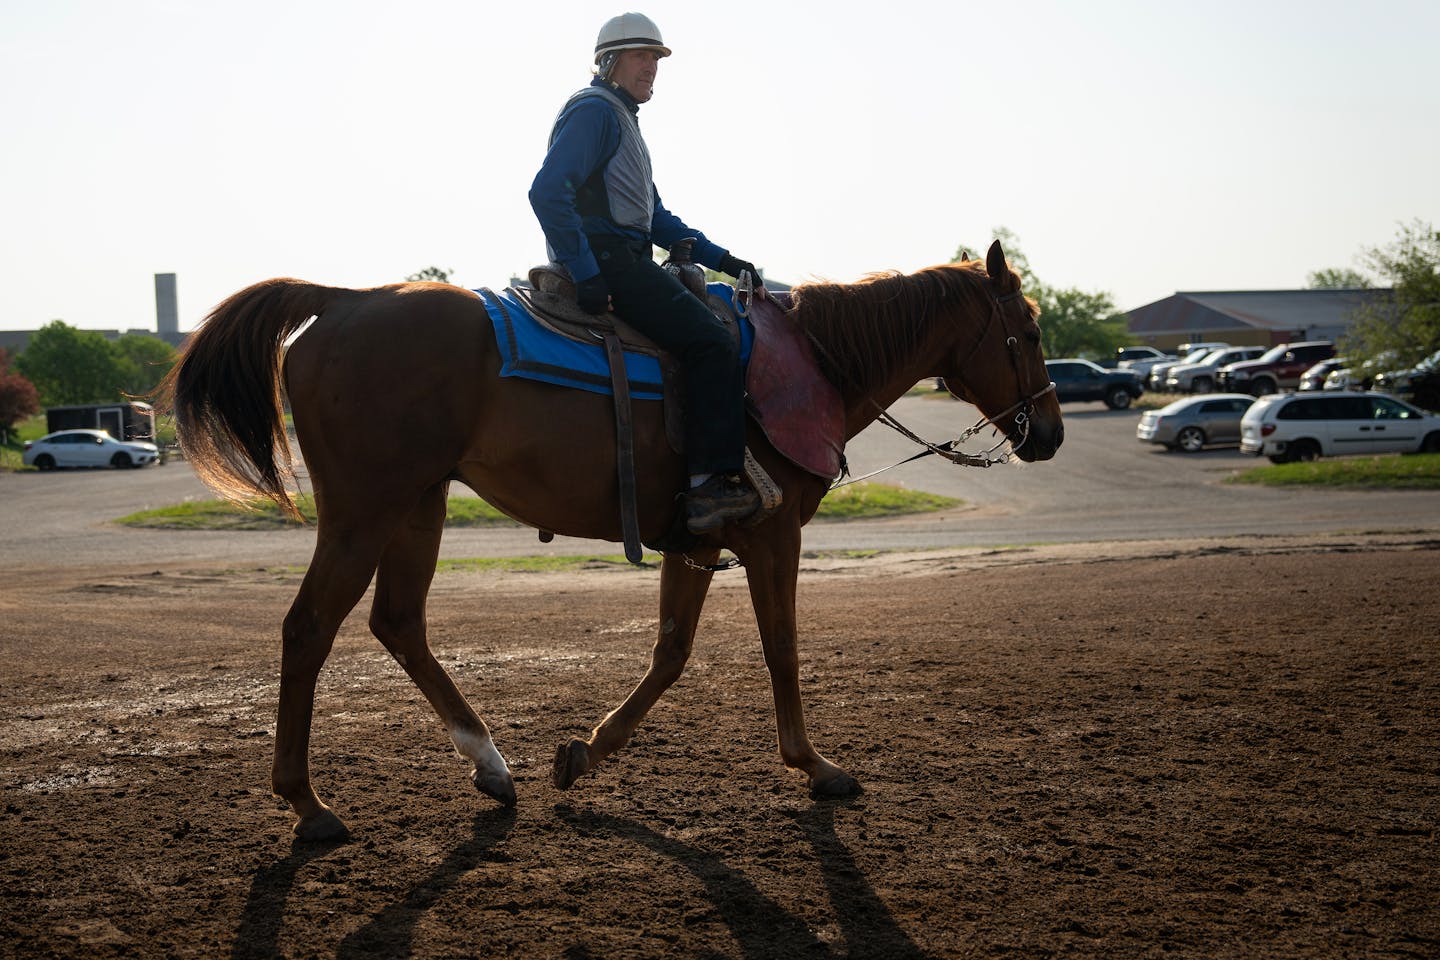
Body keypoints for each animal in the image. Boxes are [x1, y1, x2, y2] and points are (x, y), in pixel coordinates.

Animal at [155, 240, 1062, 841]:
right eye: (1027, 330)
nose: (1049, 432)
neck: (809, 366)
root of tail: (342, 298)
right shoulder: (773, 538)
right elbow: (781, 648)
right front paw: (816, 766)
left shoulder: (697, 539)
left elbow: (670, 652)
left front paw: (586, 754)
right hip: (363, 510)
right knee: (310, 628)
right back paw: (307, 804)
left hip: (416, 506)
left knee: (398, 623)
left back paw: (490, 764)